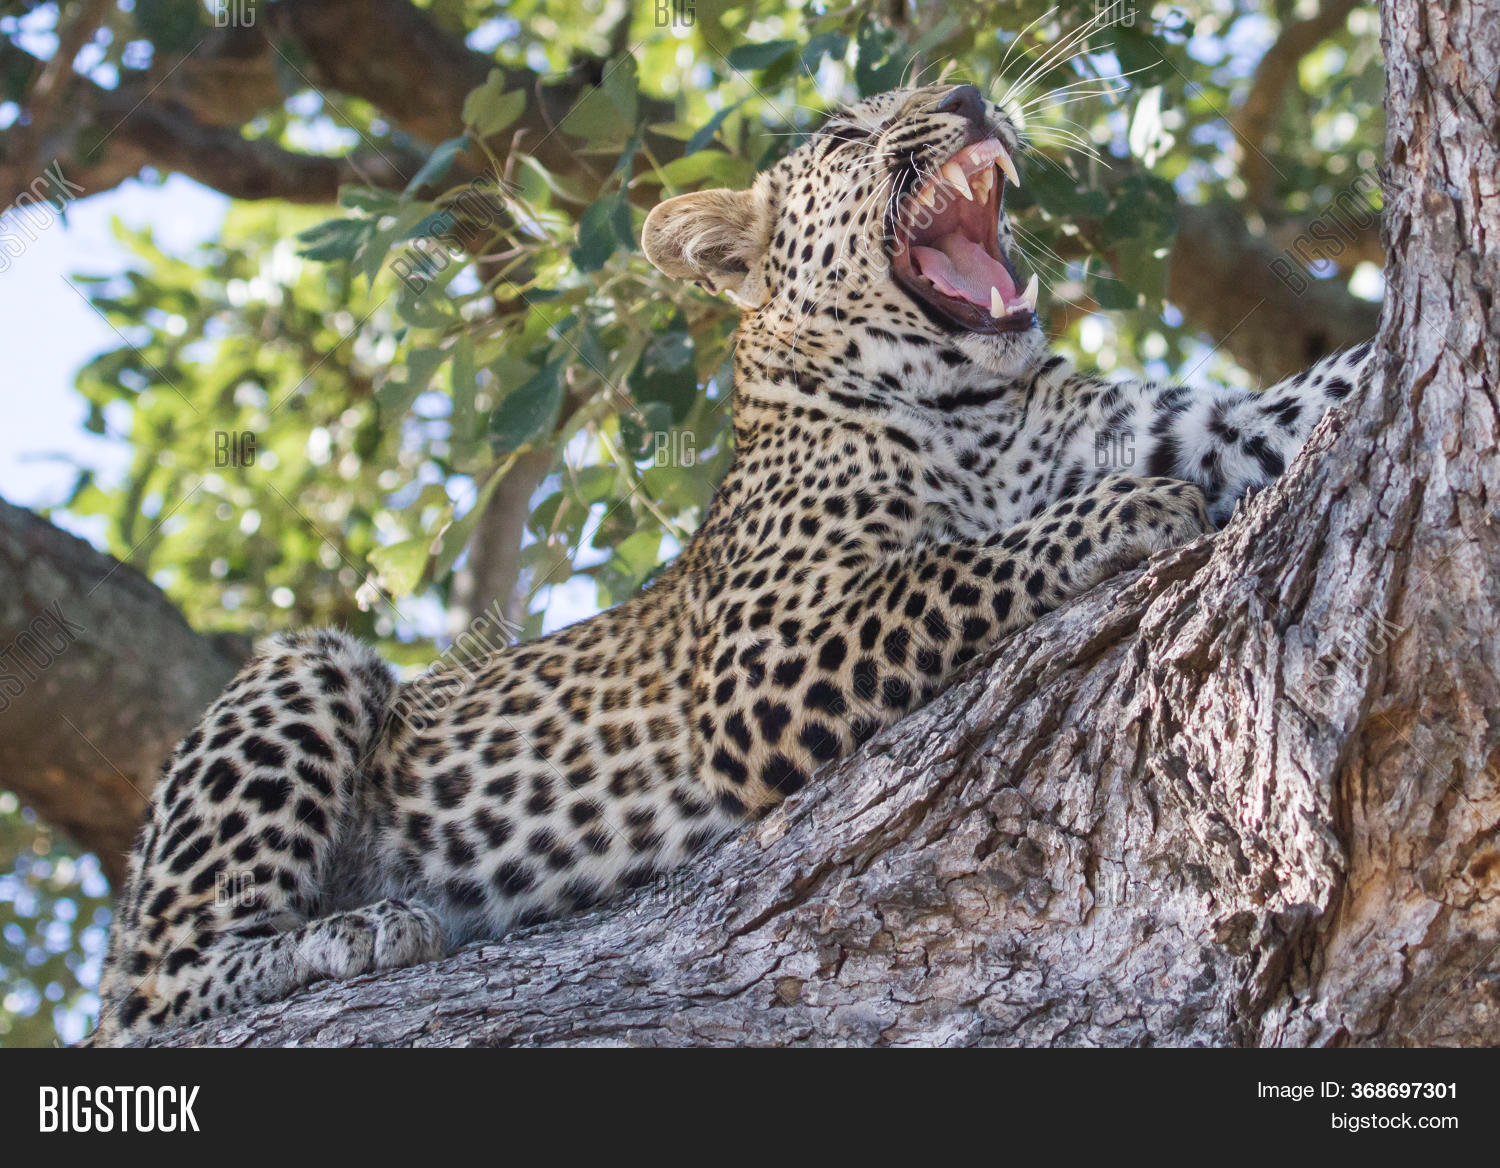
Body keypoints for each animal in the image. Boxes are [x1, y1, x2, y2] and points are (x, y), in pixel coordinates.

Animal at [88, 81, 1374, 1045]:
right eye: (852, 136)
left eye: (942, 89)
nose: (966, 96)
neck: (973, 398)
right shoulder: (764, 656)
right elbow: (961, 566)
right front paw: (1123, 514)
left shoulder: (1206, 427)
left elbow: (1316, 392)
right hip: (306, 676)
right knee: (160, 989)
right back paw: (359, 931)